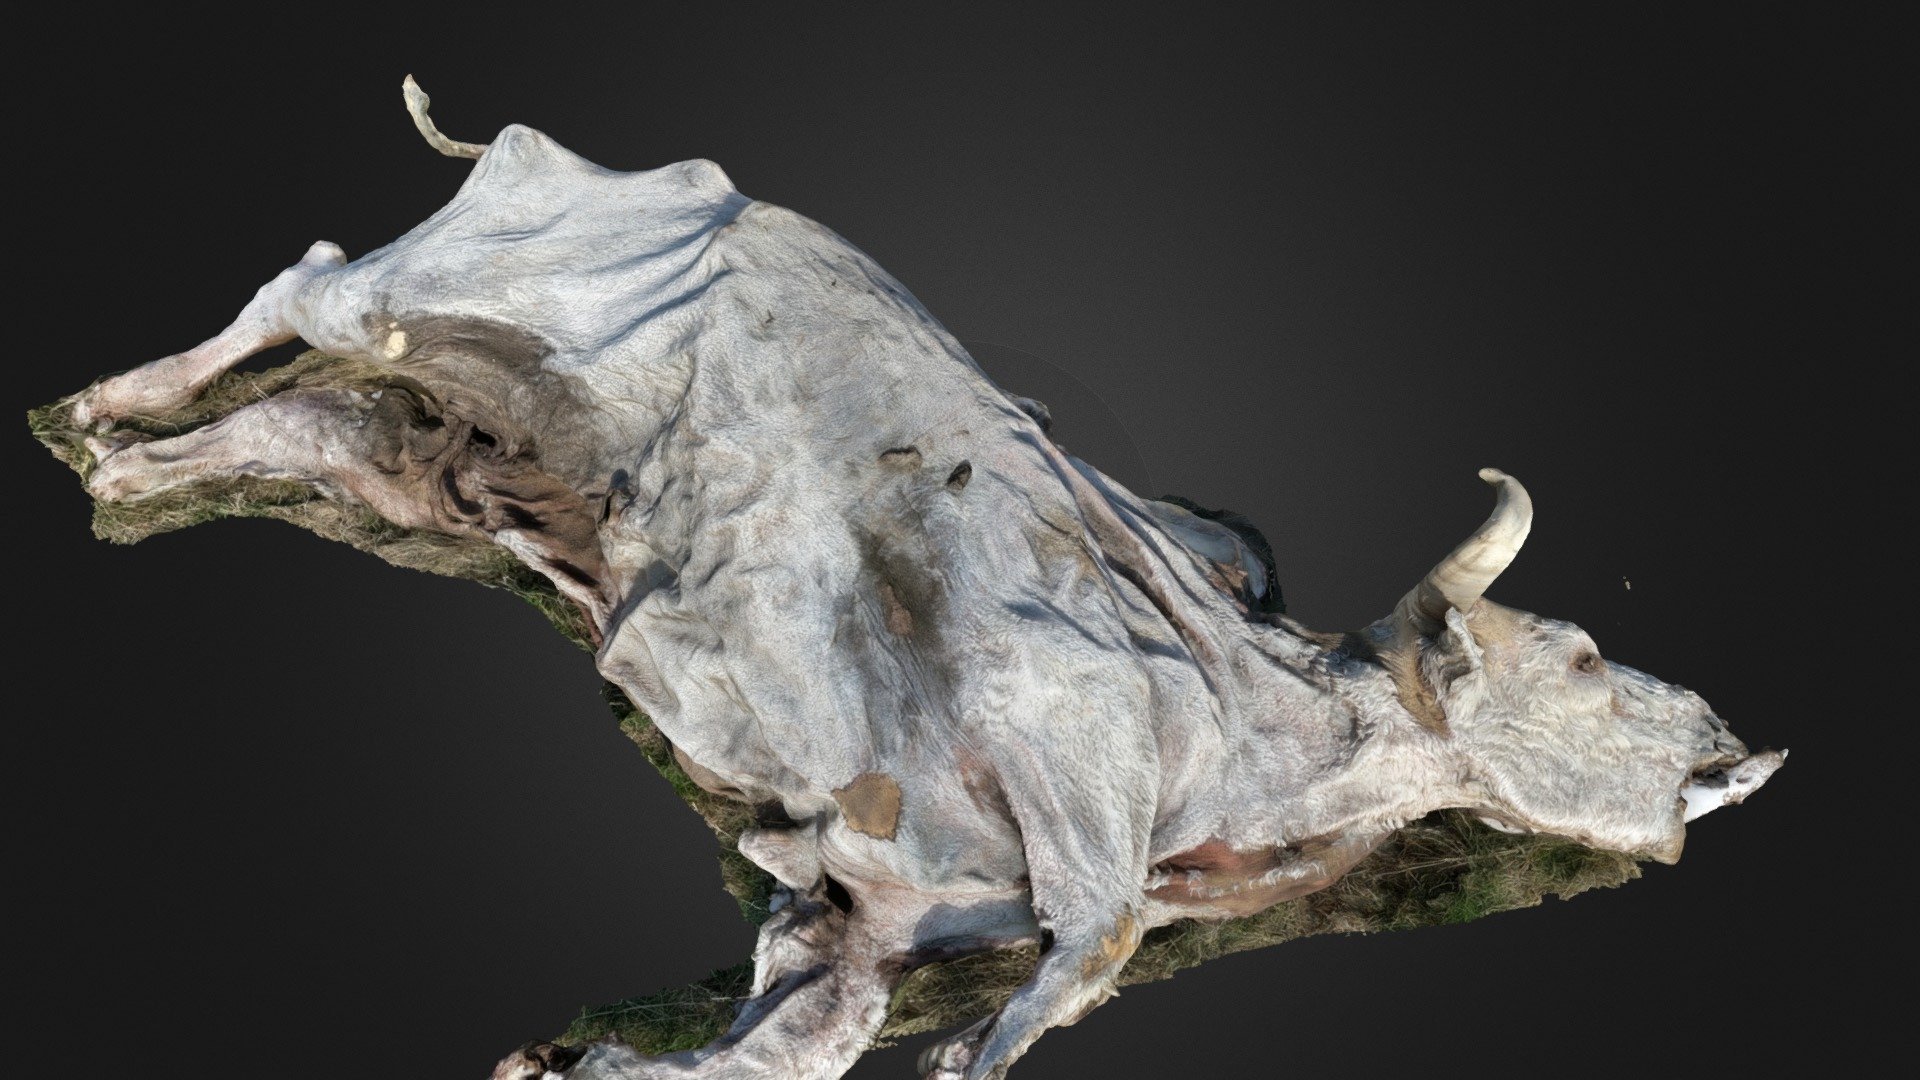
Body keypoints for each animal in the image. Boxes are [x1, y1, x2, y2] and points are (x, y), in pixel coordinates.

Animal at [59, 81, 1783, 1080]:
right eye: (1579, 654)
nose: (1728, 745)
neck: (1250, 732)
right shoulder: (1047, 726)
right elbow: (1090, 935)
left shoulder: (860, 926)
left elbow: (791, 1046)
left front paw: (601, 1065)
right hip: (431, 295)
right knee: (305, 281)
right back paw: (91, 408)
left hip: (438, 443)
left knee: (297, 419)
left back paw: (127, 469)